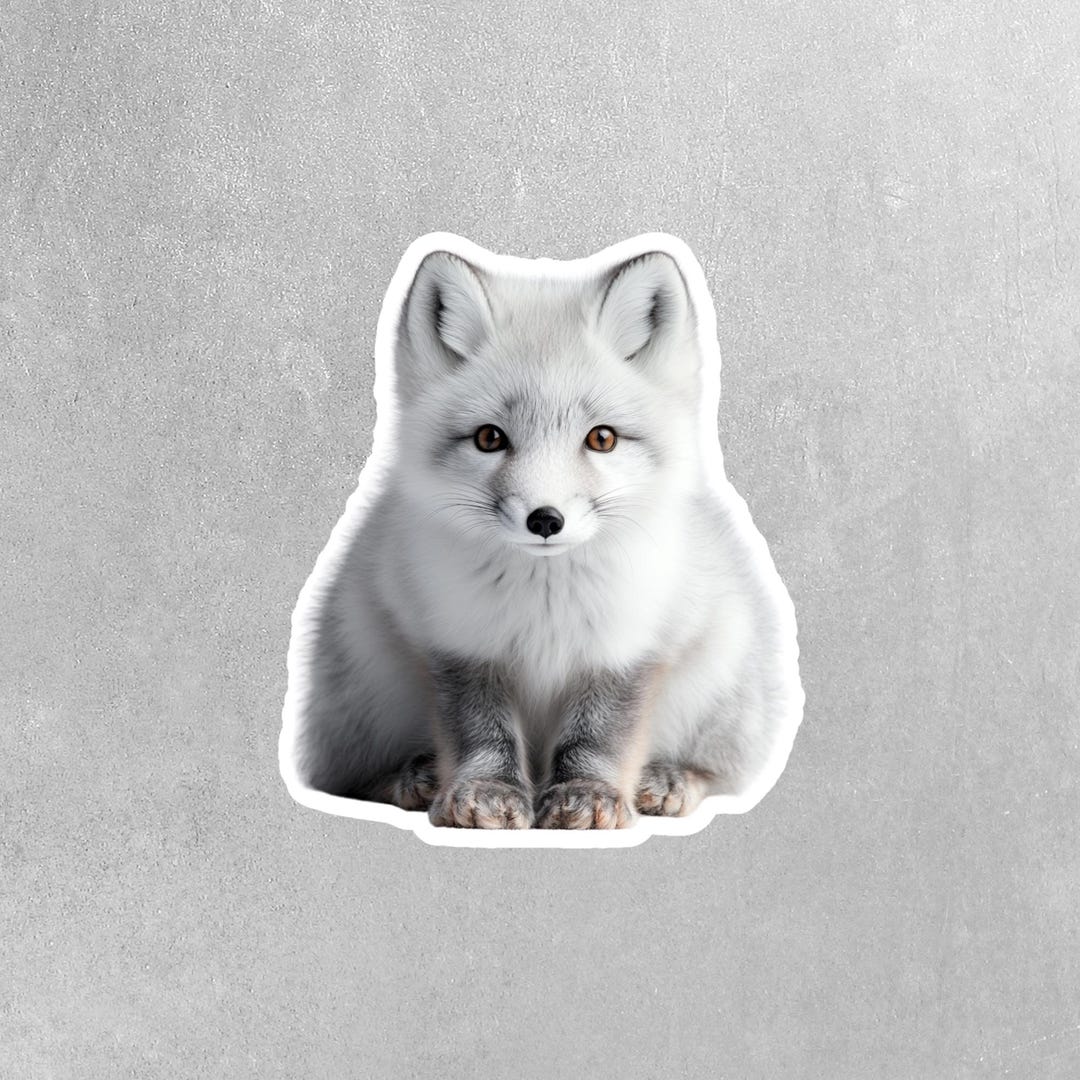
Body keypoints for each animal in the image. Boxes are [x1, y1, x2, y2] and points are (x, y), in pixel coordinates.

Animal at [279, 232, 803, 830]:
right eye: (489, 438)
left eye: (602, 438)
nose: (545, 520)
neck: (545, 597)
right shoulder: (458, 642)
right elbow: (480, 731)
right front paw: (485, 791)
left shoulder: (628, 648)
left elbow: (598, 736)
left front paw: (588, 795)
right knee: (348, 777)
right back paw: (415, 778)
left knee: (726, 773)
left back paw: (669, 779)